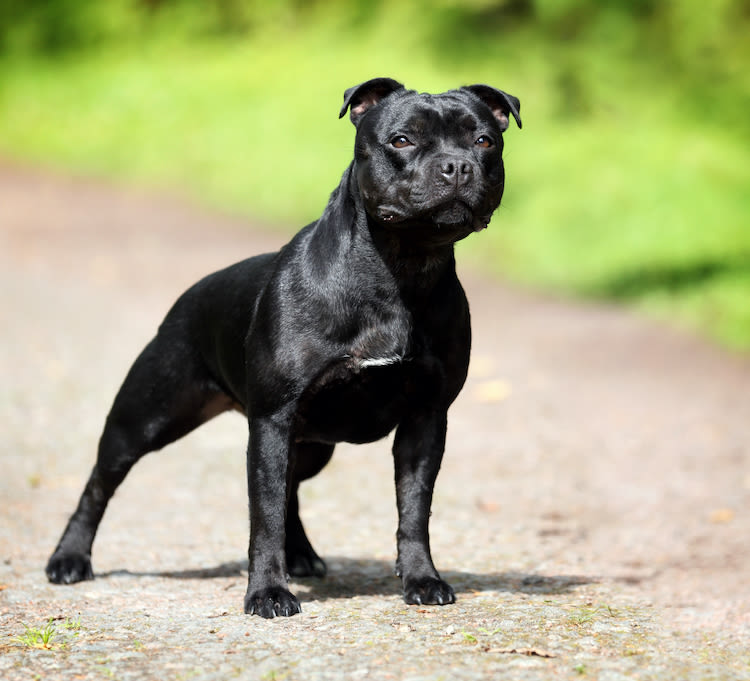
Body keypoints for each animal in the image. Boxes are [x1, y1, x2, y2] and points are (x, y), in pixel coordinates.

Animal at [45, 78, 524, 616]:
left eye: (484, 141)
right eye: (401, 140)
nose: (457, 166)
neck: (400, 269)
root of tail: (192, 292)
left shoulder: (425, 419)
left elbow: (414, 509)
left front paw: (422, 579)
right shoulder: (274, 416)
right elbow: (265, 514)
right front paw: (268, 592)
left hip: (310, 445)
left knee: (291, 486)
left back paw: (301, 555)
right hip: (147, 416)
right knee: (100, 482)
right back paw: (69, 558)